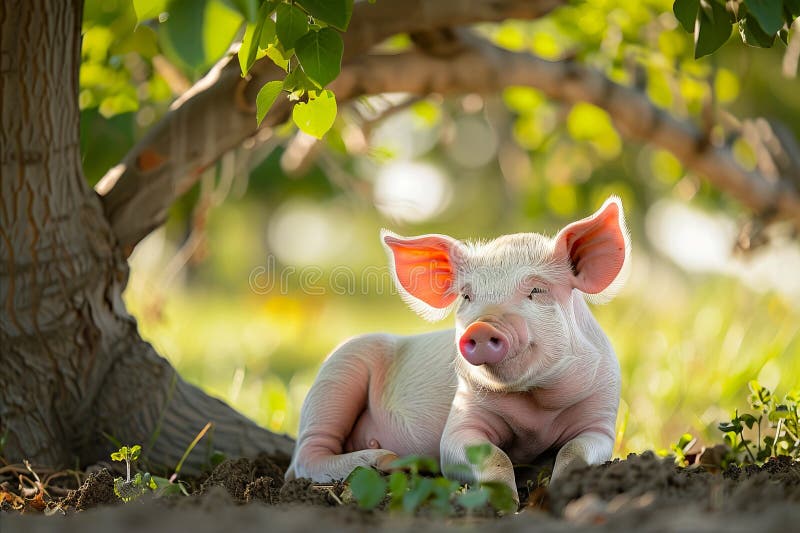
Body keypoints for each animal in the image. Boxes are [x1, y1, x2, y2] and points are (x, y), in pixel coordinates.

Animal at [286, 196, 629, 503]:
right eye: (466, 296)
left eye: (537, 290)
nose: (481, 327)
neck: (534, 408)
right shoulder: (463, 411)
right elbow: (488, 454)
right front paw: (504, 503)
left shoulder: (601, 413)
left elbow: (576, 451)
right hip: (338, 372)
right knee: (305, 455)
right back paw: (388, 461)